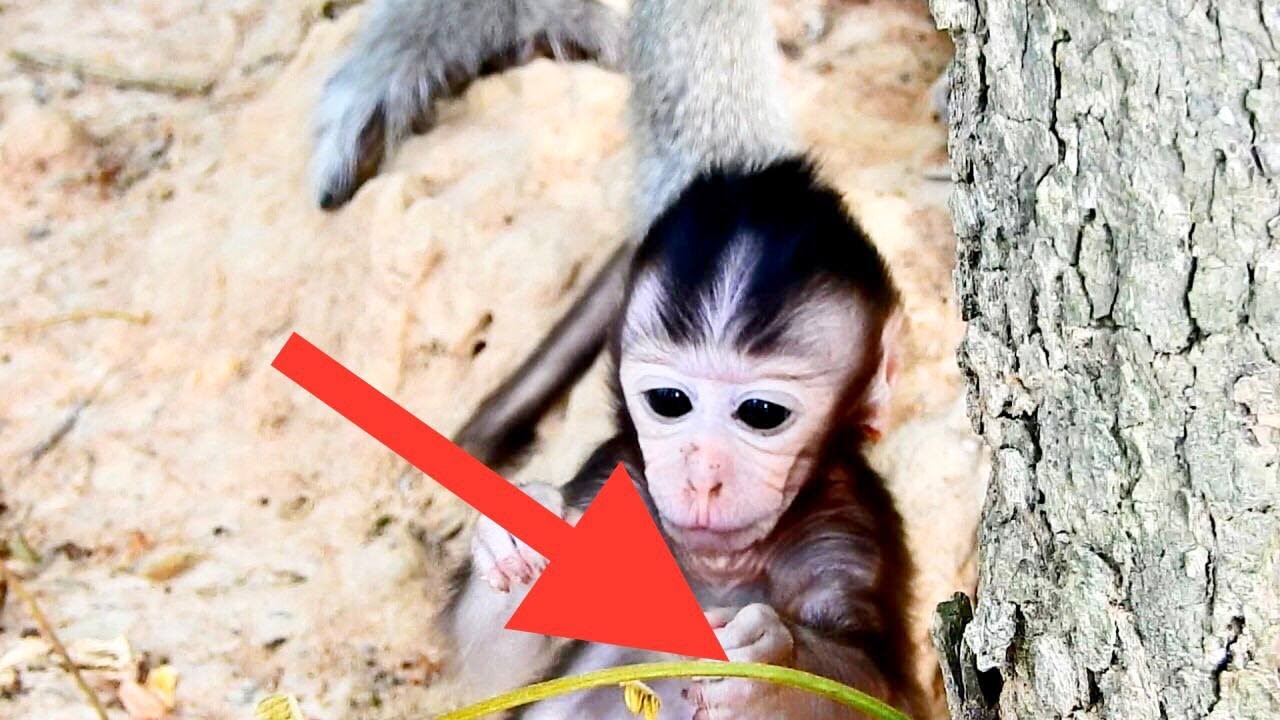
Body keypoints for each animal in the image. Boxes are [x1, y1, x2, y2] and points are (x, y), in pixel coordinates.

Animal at [313, 0, 925, 716]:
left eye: (762, 414)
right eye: (669, 402)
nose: (700, 478)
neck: (720, 563)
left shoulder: (851, 538)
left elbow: (882, 691)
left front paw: (768, 659)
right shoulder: (616, 479)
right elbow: (498, 665)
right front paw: (522, 537)